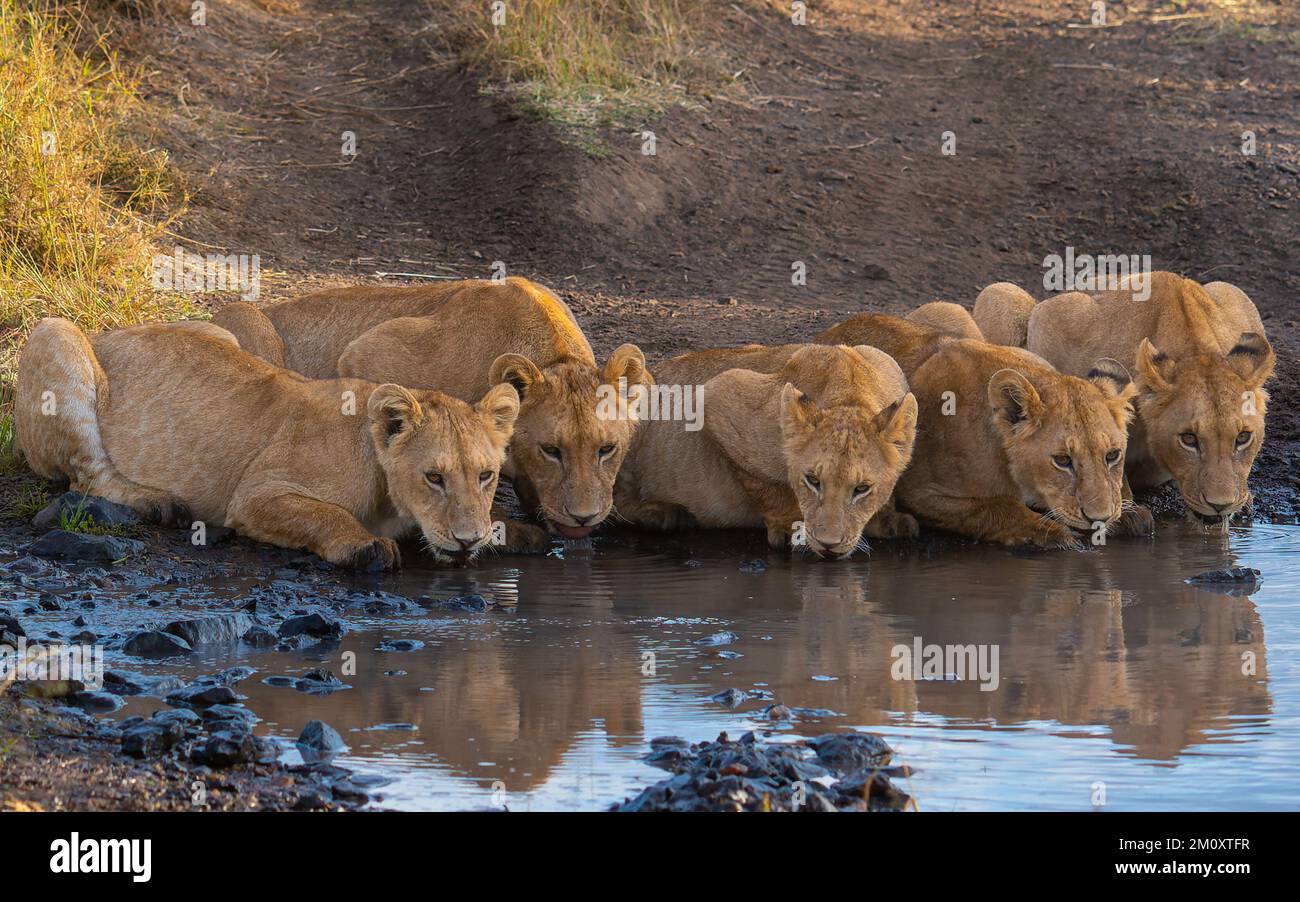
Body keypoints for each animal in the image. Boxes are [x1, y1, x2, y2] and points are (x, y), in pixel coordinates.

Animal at [15, 319, 519, 570]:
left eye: (486, 476)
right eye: (433, 477)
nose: (469, 541)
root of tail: (105, 332)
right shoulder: (256, 494)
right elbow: (326, 514)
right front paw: (366, 546)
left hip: (221, 332)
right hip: (54, 332)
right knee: (88, 476)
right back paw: (157, 502)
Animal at [614, 343, 919, 557]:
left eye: (862, 488)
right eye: (813, 480)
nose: (828, 545)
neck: (851, 393)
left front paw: (887, 518)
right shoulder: (717, 393)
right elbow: (764, 485)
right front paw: (788, 528)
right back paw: (663, 514)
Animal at [813, 313, 1148, 547]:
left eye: (1112, 455)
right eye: (1062, 460)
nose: (1099, 519)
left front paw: (1129, 512)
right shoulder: (919, 490)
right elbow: (995, 506)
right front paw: (1047, 531)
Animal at [972, 272, 1274, 523]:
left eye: (1243, 437)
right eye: (1188, 439)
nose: (1220, 505)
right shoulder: (1052, 319)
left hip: (1231, 290)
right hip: (999, 291)